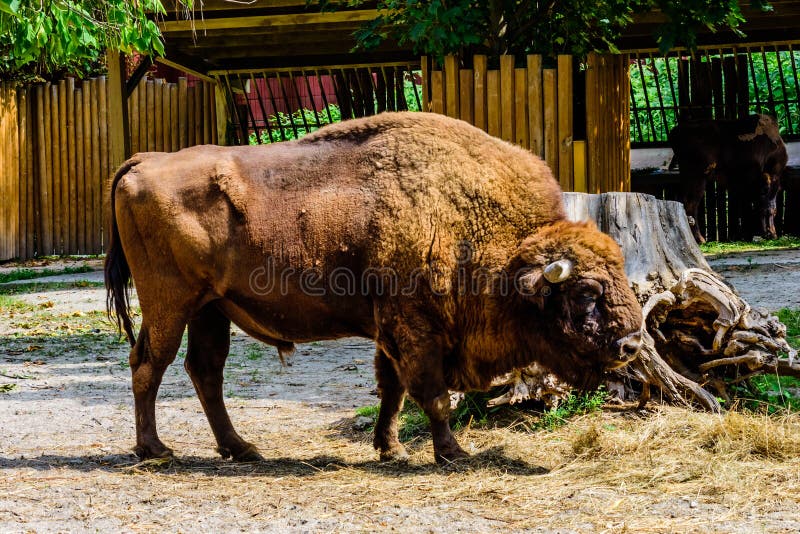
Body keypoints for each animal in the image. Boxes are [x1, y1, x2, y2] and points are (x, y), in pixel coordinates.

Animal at [106, 112, 643, 464]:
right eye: (586, 292)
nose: (632, 344)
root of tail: (142, 161)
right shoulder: (415, 331)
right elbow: (431, 394)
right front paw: (452, 452)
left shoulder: (392, 333)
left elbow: (392, 390)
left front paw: (391, 448)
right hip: (169, 304)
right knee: (149, 364)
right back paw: (155, 450)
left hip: (210, 309)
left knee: (205, 371)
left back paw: (241, 449)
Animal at [668, 113, 788, 243]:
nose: (768, 234)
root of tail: (676, 131)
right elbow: (766, 206)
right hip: (697, 177)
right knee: (690, 203)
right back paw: (700, 239)